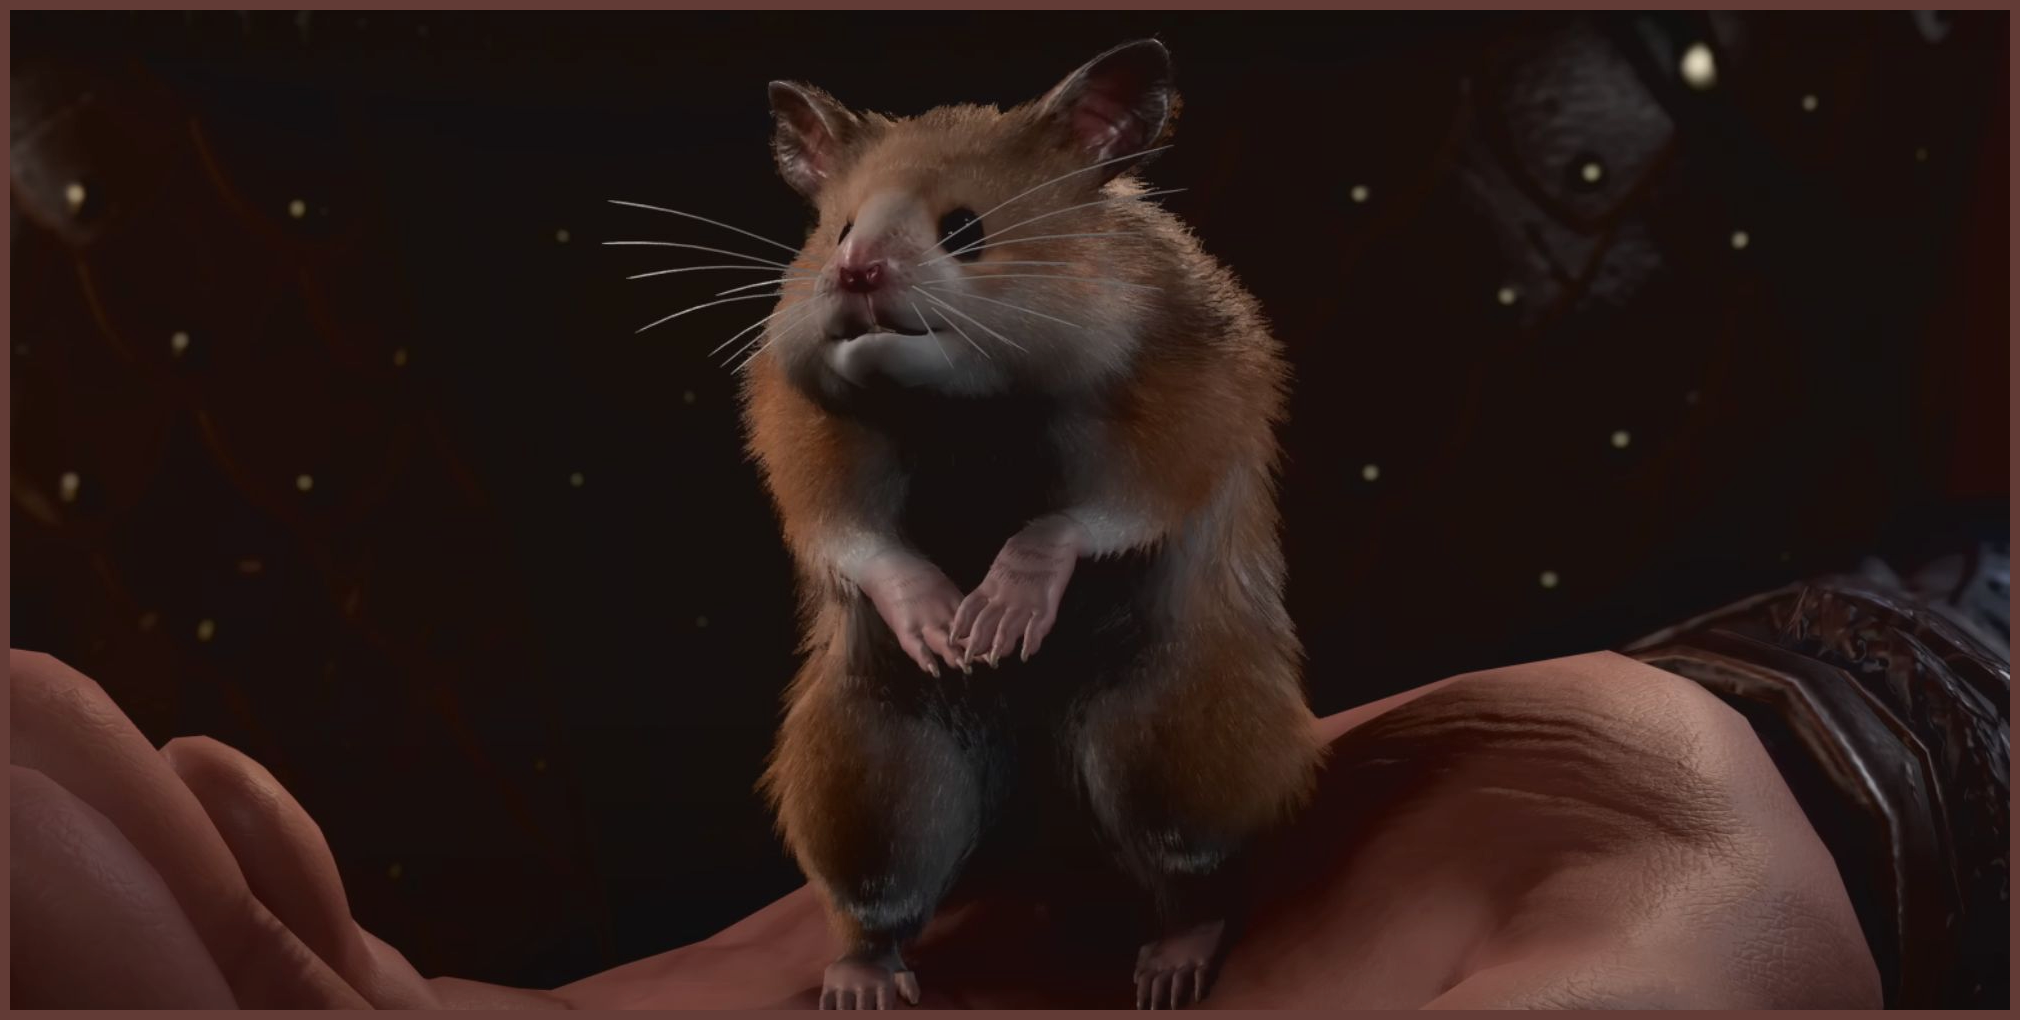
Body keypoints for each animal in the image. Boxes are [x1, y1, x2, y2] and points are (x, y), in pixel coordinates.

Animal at [740, 39, 1322, 1010]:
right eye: (838, 231)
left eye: (964, 230)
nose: (854, 275)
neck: (964, 411)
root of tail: (1038, 844)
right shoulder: (808, 440)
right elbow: (854, 531)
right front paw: (947, 632)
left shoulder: (1181, 404)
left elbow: (1092, 514)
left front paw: (995, 624)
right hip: (869, 765)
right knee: (878, 895)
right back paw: (861, 985)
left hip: (1166, 739)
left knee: (1193, 872)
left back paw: (1171, 970)